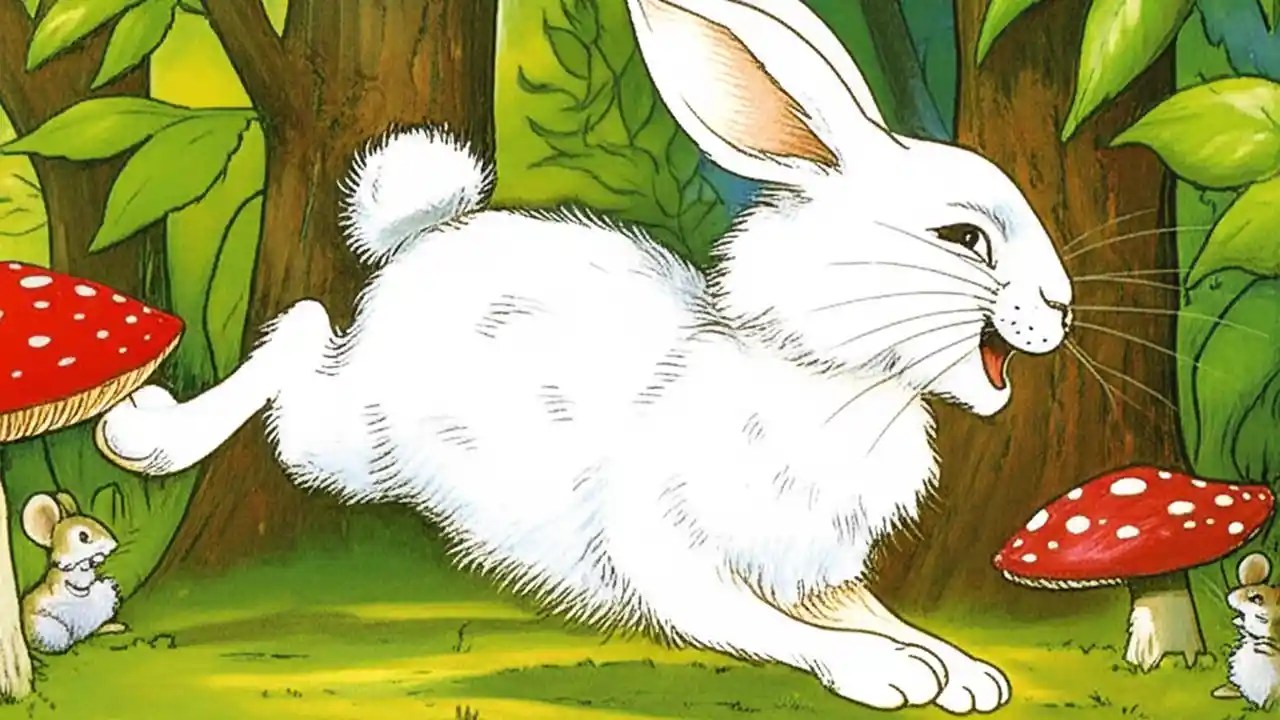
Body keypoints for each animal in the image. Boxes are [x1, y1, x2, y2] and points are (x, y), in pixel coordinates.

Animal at [92, 0, 1072, 712]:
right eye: (963, 239)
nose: (1062, 305)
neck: (826, 381)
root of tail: (423, 239)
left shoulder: (816, 568)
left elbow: (876, 613)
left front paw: (964, 673)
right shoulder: (675, 560)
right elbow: (782, 631)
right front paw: (890, 675)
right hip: (350, 444)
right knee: (298, 339)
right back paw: (144, 432)